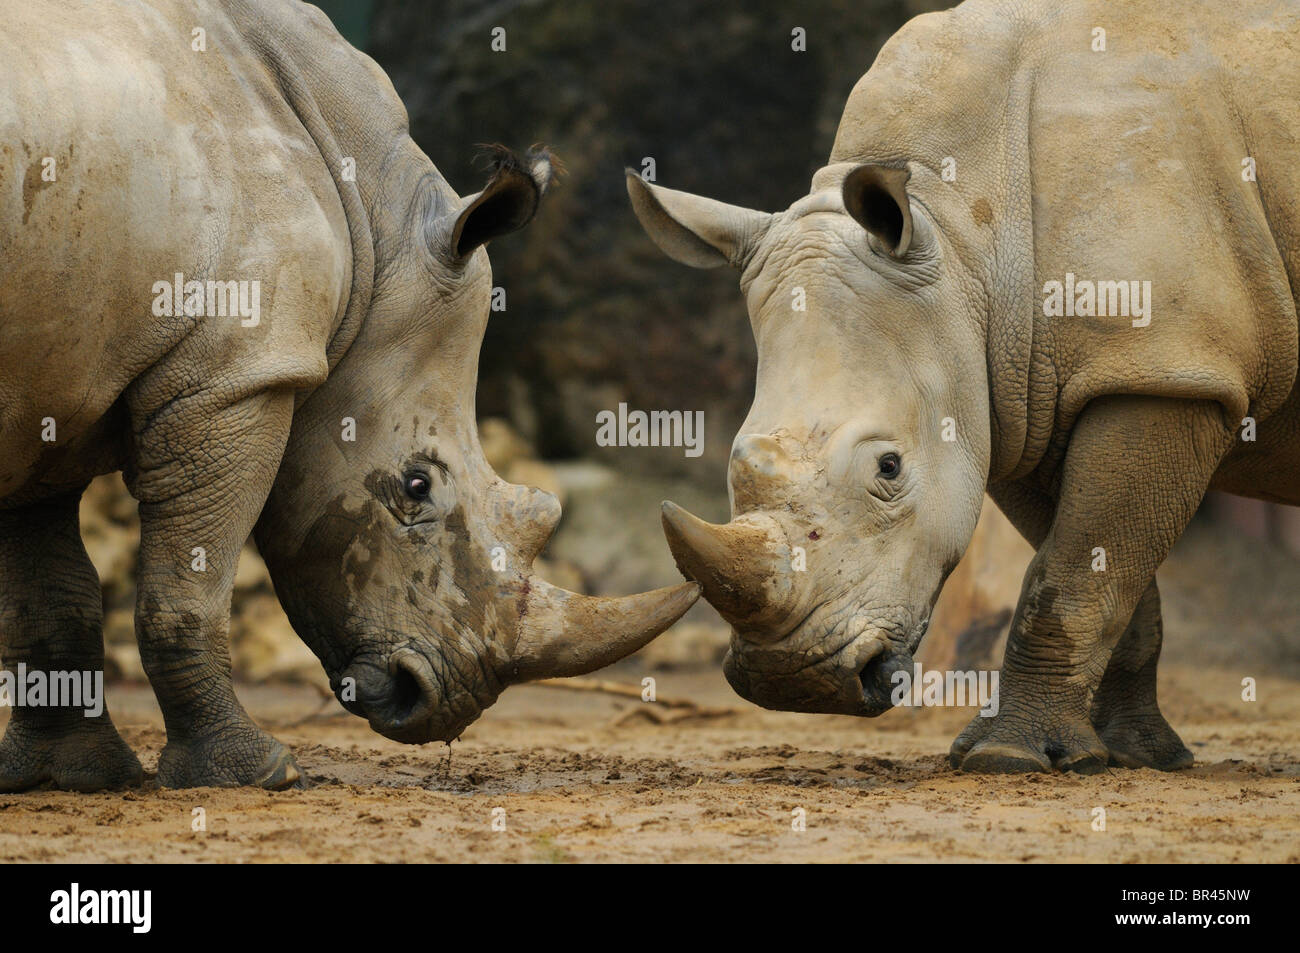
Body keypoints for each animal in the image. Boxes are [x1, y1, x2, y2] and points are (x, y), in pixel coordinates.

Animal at [0, 0, 697, 791]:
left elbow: (50, 591)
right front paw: (255, 774)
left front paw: (66, 777)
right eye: (417, 485)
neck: (373, 231)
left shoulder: (54, 372)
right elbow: (187, 585)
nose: (439, 701)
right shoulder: (236, 374)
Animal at [627, 0, 1300, 773]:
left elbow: (1070, 574)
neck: (962, 231)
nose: (791, 680)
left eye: (889, 468)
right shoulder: (1023, 395)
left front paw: (1008, 756)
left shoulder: (1166, 369)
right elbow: (1107, 570)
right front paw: (1135, 756)